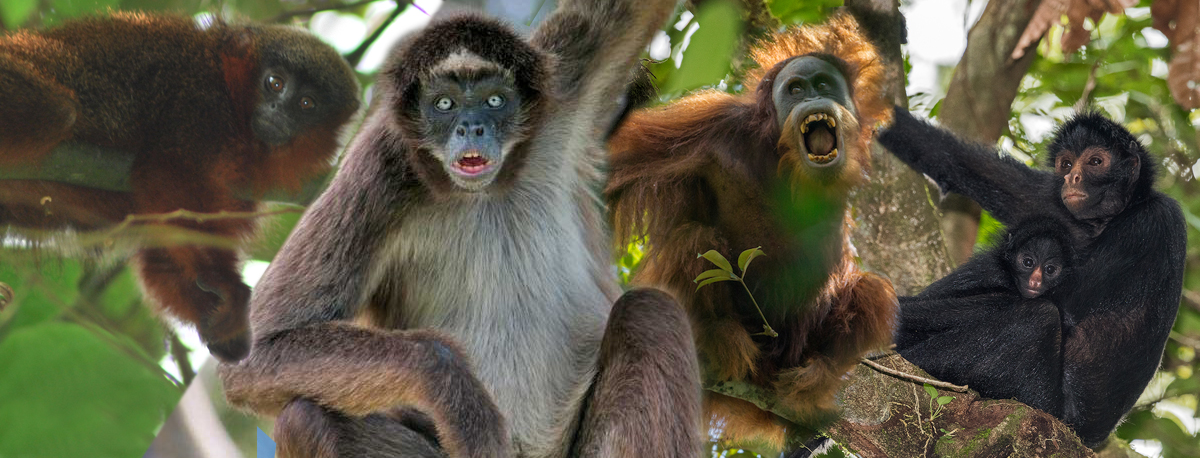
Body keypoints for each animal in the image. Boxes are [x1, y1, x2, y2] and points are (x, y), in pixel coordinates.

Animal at [0, 12, 361, 361]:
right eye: (274, 83)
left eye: (306, 104)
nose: (278, 111)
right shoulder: (199, 106)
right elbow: (168, 178)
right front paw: (225, 283)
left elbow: (159, 252)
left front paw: (221, 322)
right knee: (59, 113)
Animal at [217, 3, 702, 458]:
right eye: (445, 104)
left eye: (494, 100)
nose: (473, 128)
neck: (481, 193)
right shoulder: (382, 166)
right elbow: (252, 359)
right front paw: (460, 398)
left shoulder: (566, 82)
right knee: (303, 419)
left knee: (649, 313)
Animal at [605, 13, 897, 455]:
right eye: (795, 89)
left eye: (823, 85)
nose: (812, 100)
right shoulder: (708, 123)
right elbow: (608, 171)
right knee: (695, 239)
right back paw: (717, 337)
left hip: (789, 354)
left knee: (871, 291)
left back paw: (814, 383)